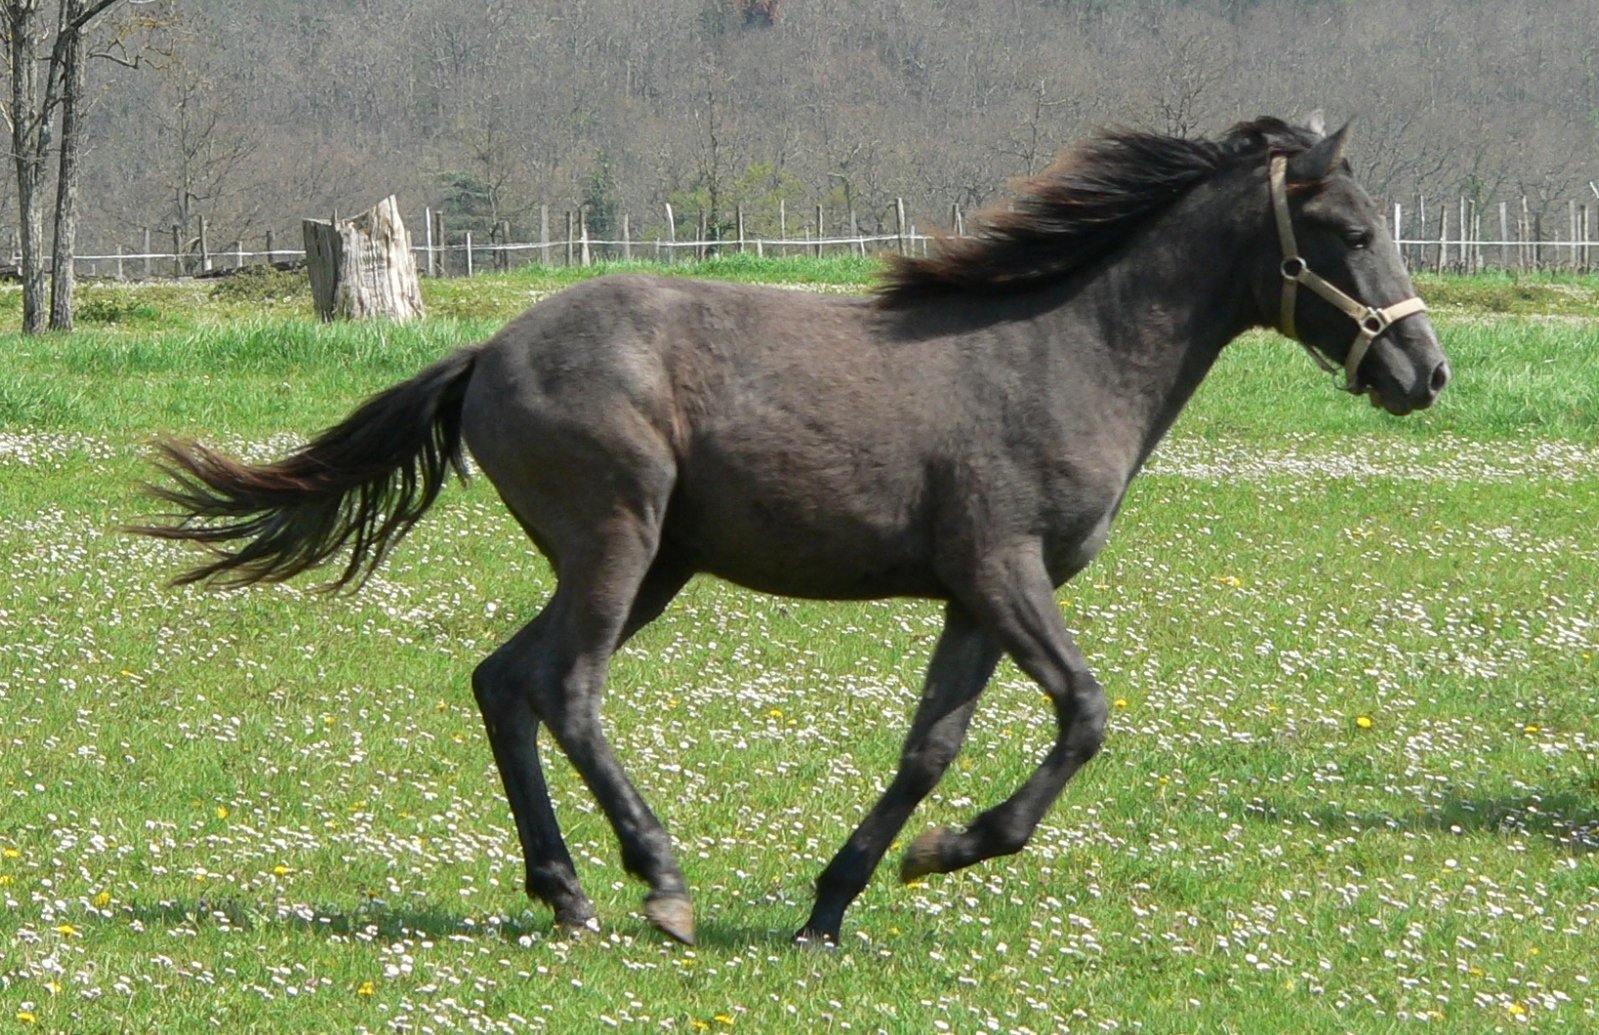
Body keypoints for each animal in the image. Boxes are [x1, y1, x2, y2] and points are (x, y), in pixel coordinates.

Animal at [134, 115, 1448, 947]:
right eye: (1347, 230)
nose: (1424, 371)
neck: (1063, 354)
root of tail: (486, 354)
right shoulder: (1005, 570)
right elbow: (1083, 713)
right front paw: (958, 849)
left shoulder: (971, 599)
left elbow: (928, 748)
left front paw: (840, 899)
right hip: (618, 546)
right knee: (565, 688)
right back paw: (657, 882)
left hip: (651, 566)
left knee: (501, 680)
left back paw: (566, 892)